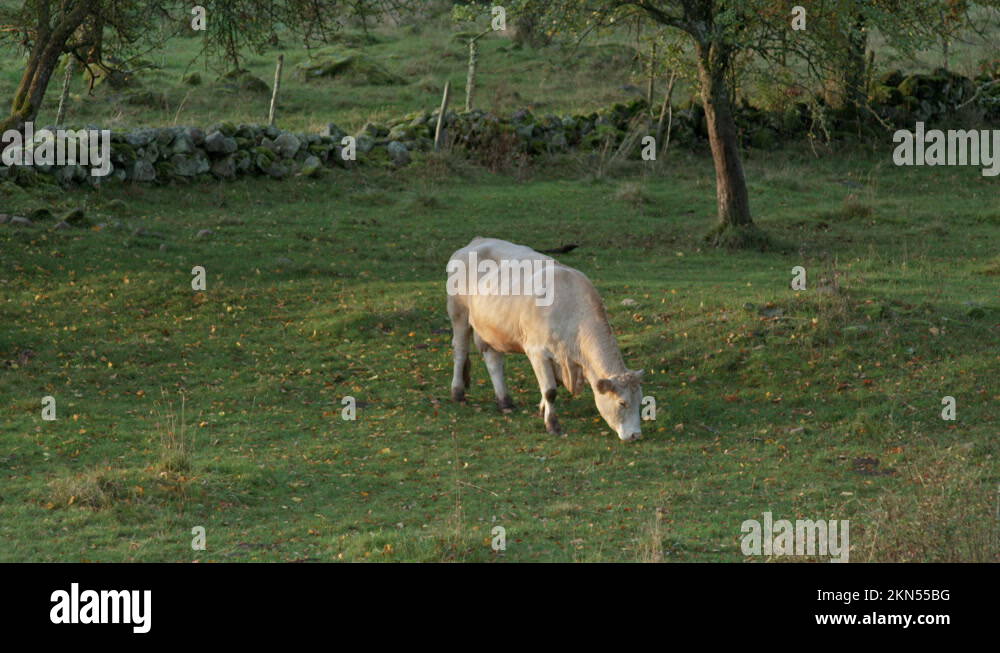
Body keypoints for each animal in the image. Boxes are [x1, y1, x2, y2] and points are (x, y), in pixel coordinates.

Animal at [446, 237, 644, 441]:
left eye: (640, 401)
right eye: (622, 403)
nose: (636, 435)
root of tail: (477, 240)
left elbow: (552, 384)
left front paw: (542, 410)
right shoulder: (537, 352)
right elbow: (550, 390)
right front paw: (552, 425)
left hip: (492, 328)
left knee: (494, 361)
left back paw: (505, 401)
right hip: (458, 313)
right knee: (460, 351)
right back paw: (458, 393)